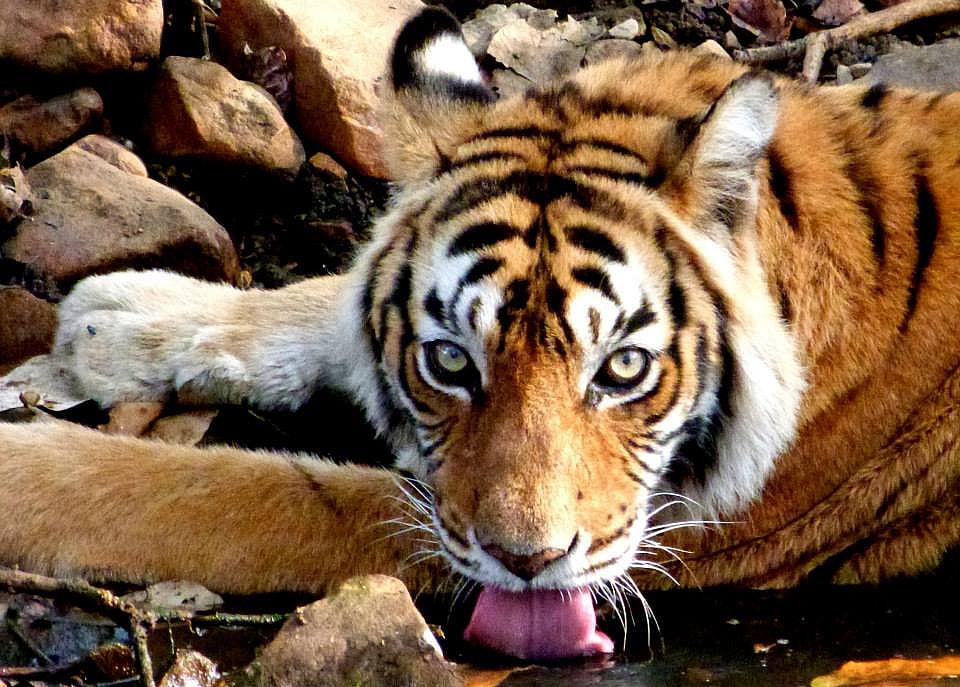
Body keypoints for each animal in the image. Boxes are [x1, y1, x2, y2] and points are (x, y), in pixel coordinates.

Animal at [1, 5, 960, 660]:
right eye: (451, 361)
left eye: (623, 368)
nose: (526, 562)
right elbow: (323, 302)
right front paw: (115, 317)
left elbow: (237, 493)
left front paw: (26, 472)